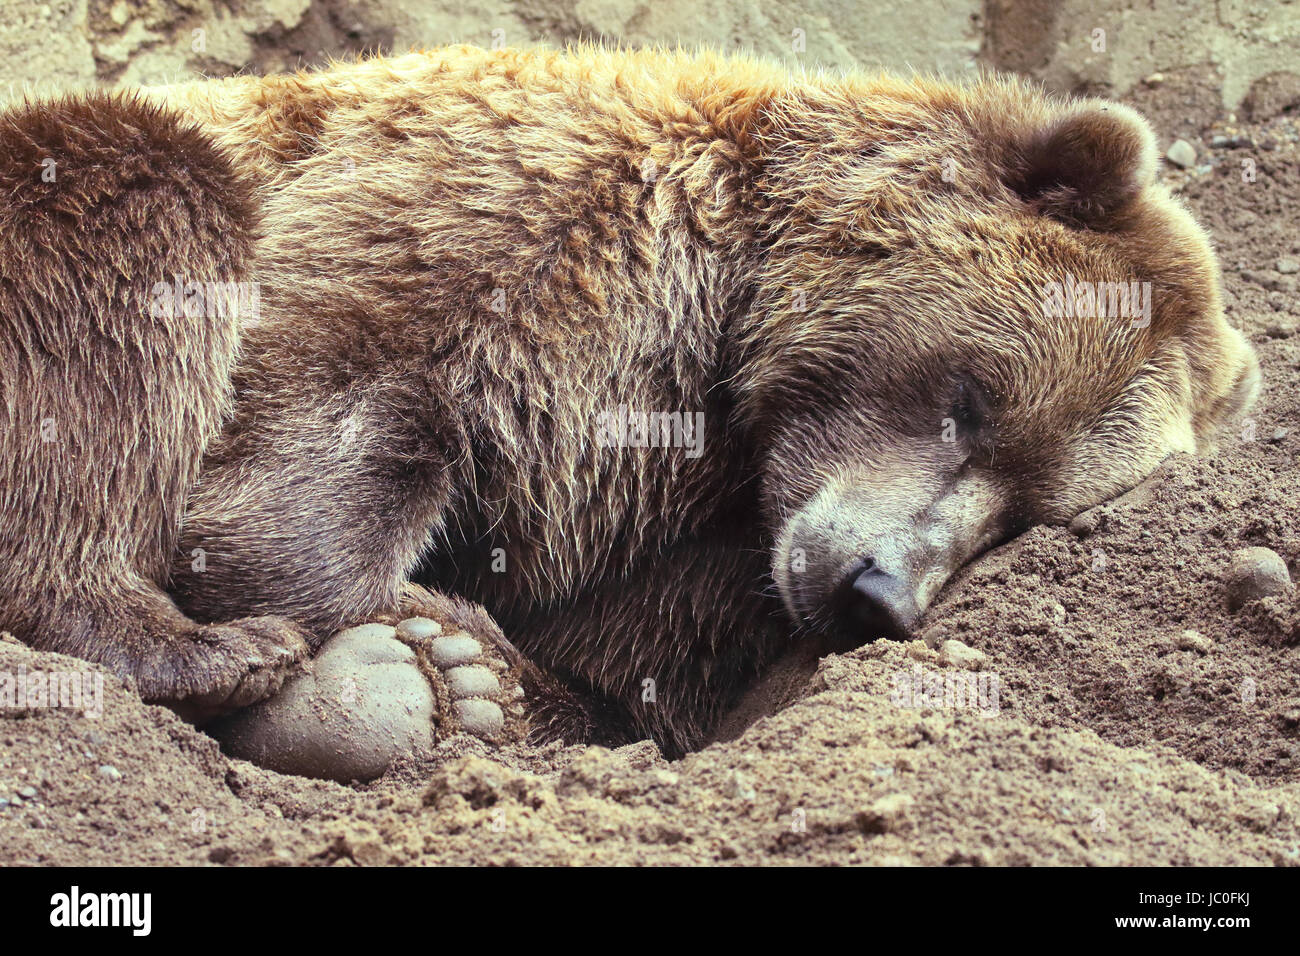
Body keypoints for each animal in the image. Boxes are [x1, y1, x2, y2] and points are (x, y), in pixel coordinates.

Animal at [0, 45, 1259, 766]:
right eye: (970, 402)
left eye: (1027, 508)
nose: (874, 590)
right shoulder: (508, 216)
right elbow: (340, 392)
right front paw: (372, 618)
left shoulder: (694, 553)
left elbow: (633, 671)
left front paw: (456, 676)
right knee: (140, 212)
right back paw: (194, 644)